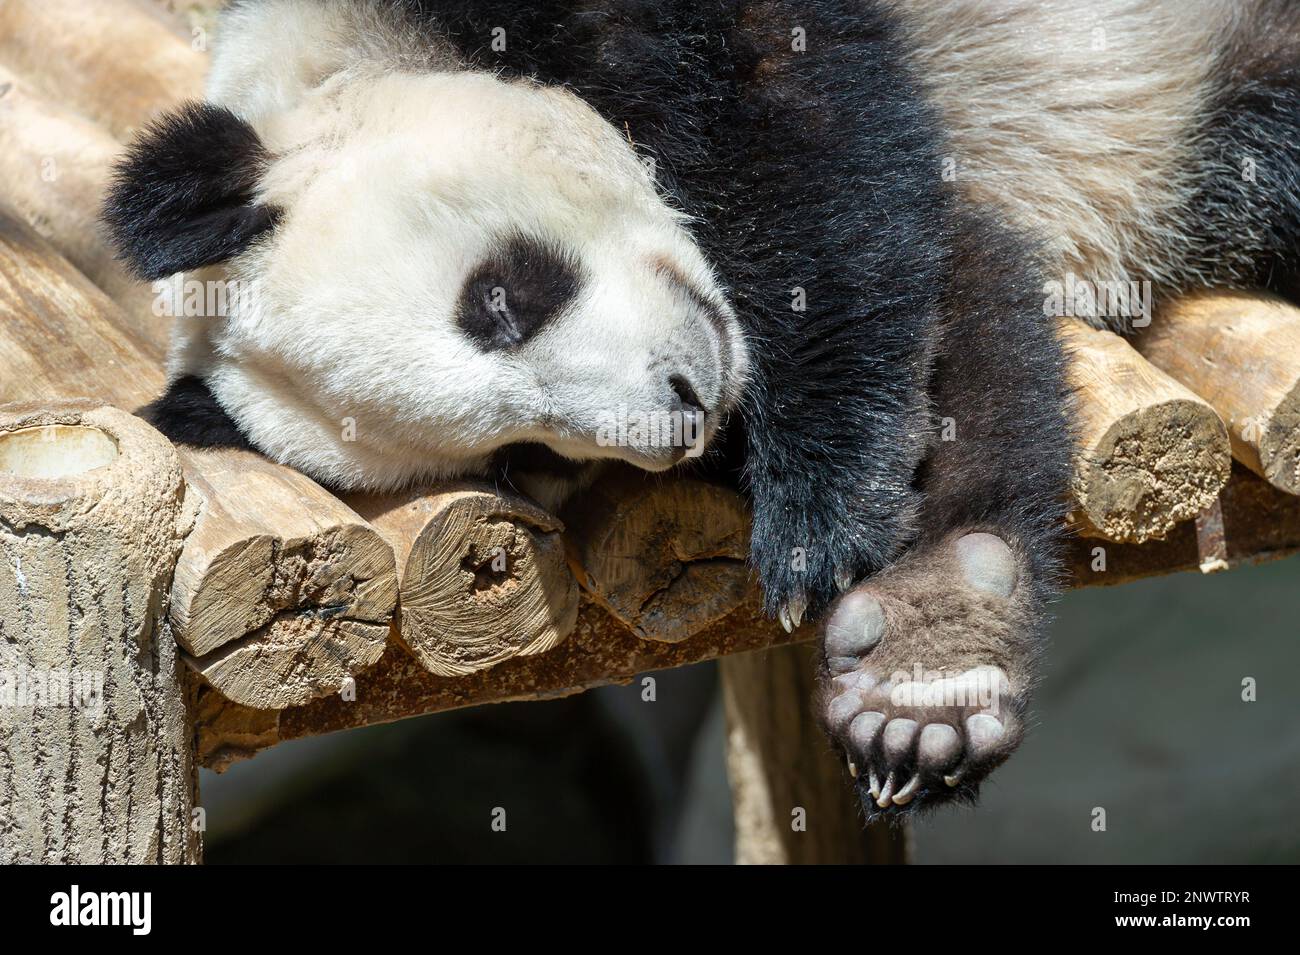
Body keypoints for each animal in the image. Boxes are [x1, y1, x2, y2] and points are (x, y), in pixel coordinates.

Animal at [103, 0, 1300, 819]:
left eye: (499, 298)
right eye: (519, 456)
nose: (680, 410)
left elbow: (805, 134)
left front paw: (833, 520)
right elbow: (963, 305)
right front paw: (927, 663)